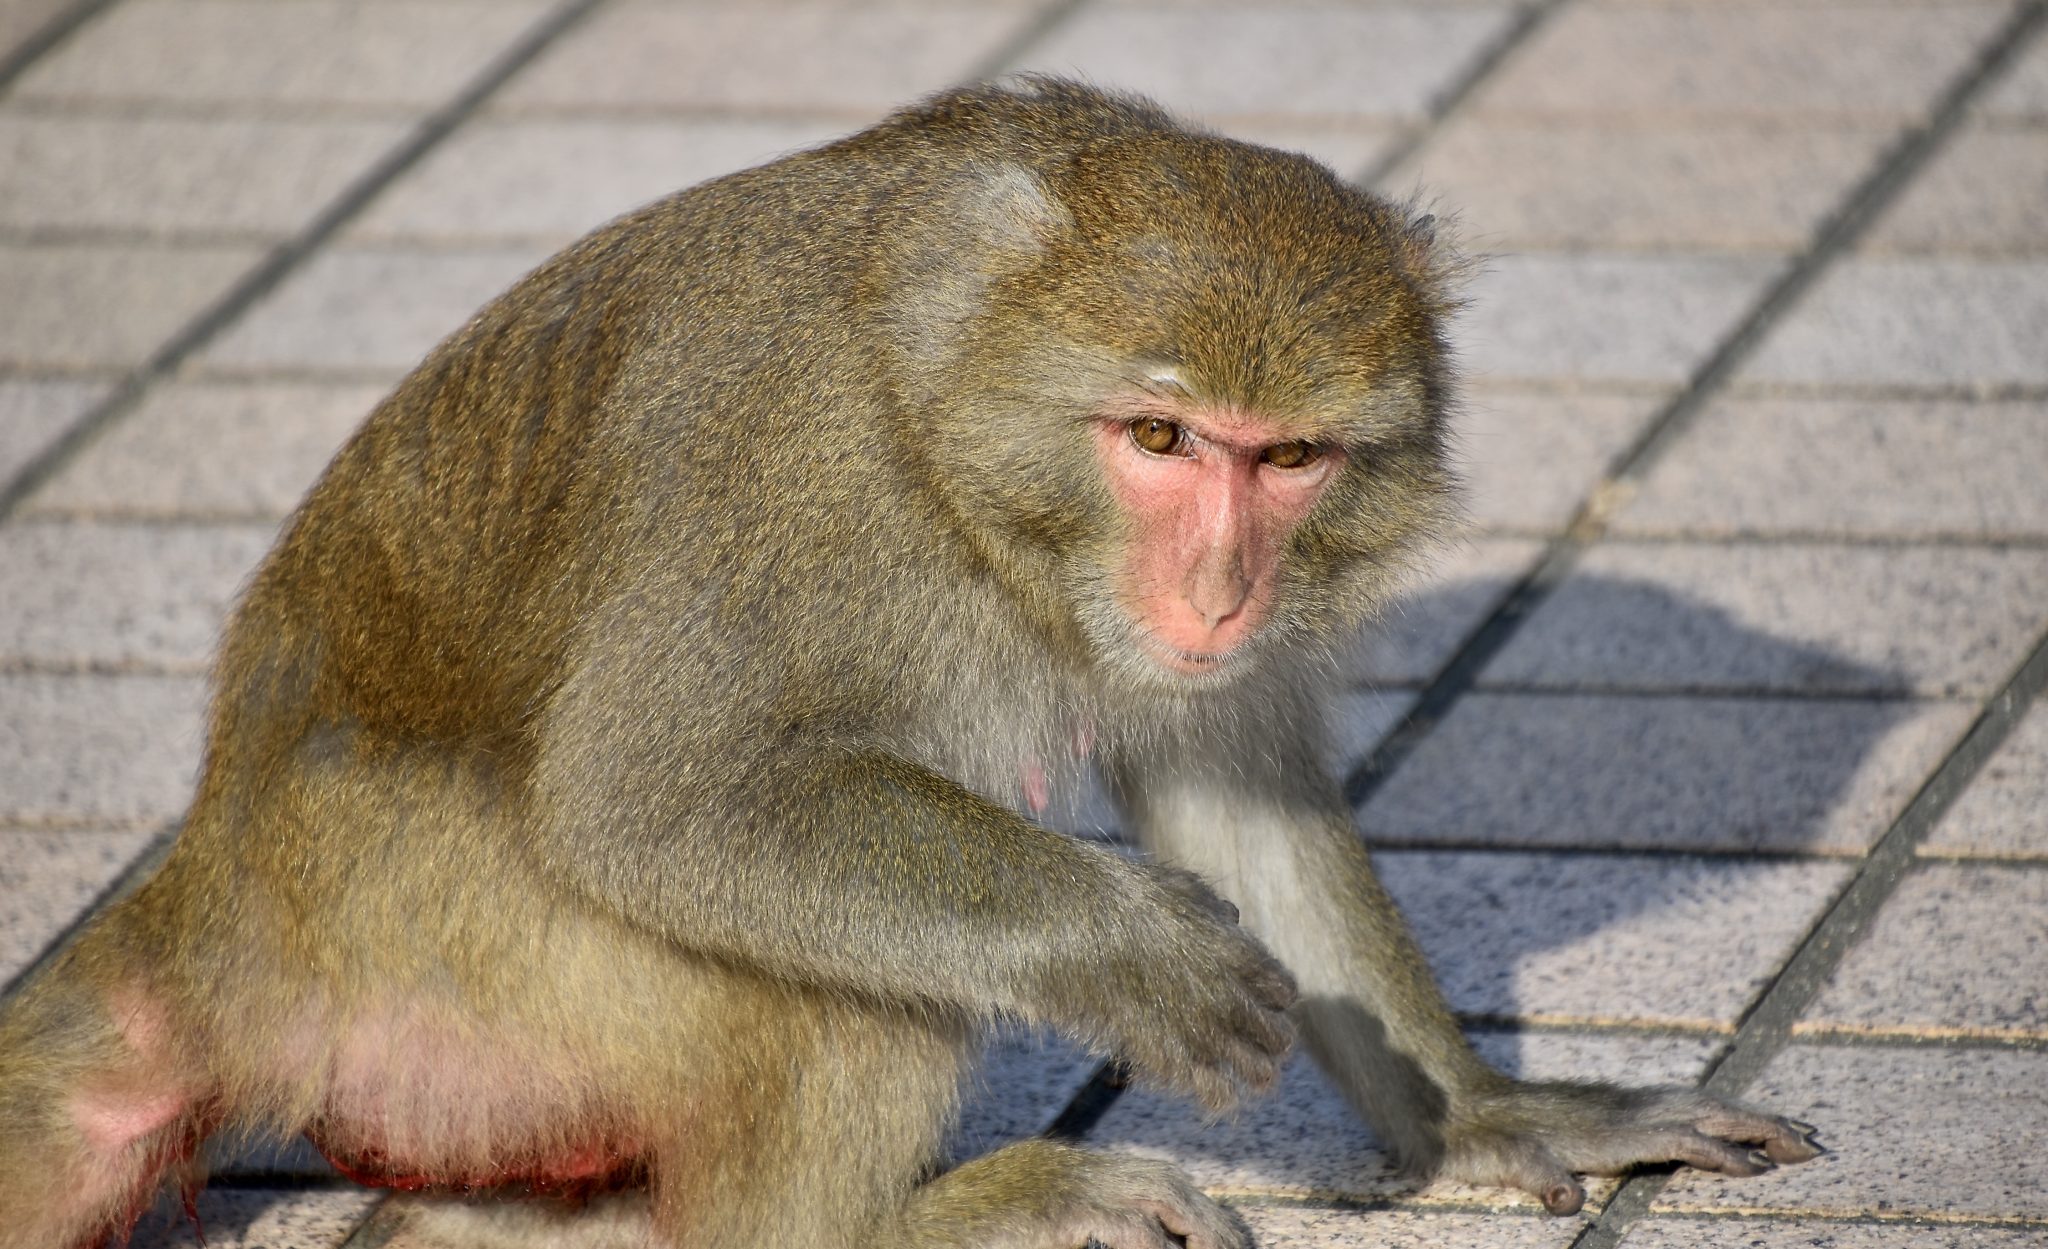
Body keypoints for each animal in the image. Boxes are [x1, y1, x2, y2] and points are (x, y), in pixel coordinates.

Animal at [0, 78, 1821, 1249]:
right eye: (1160, 438)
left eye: (1287, 458)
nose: (1219, 584)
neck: (938, 421)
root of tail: (223, 886)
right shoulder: (777, 477)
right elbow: (658, 801)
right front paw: (1130, 947)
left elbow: (1226, 785)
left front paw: (1483, 1117)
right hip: (440, 940)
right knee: (824, 966)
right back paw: (896, 1222)